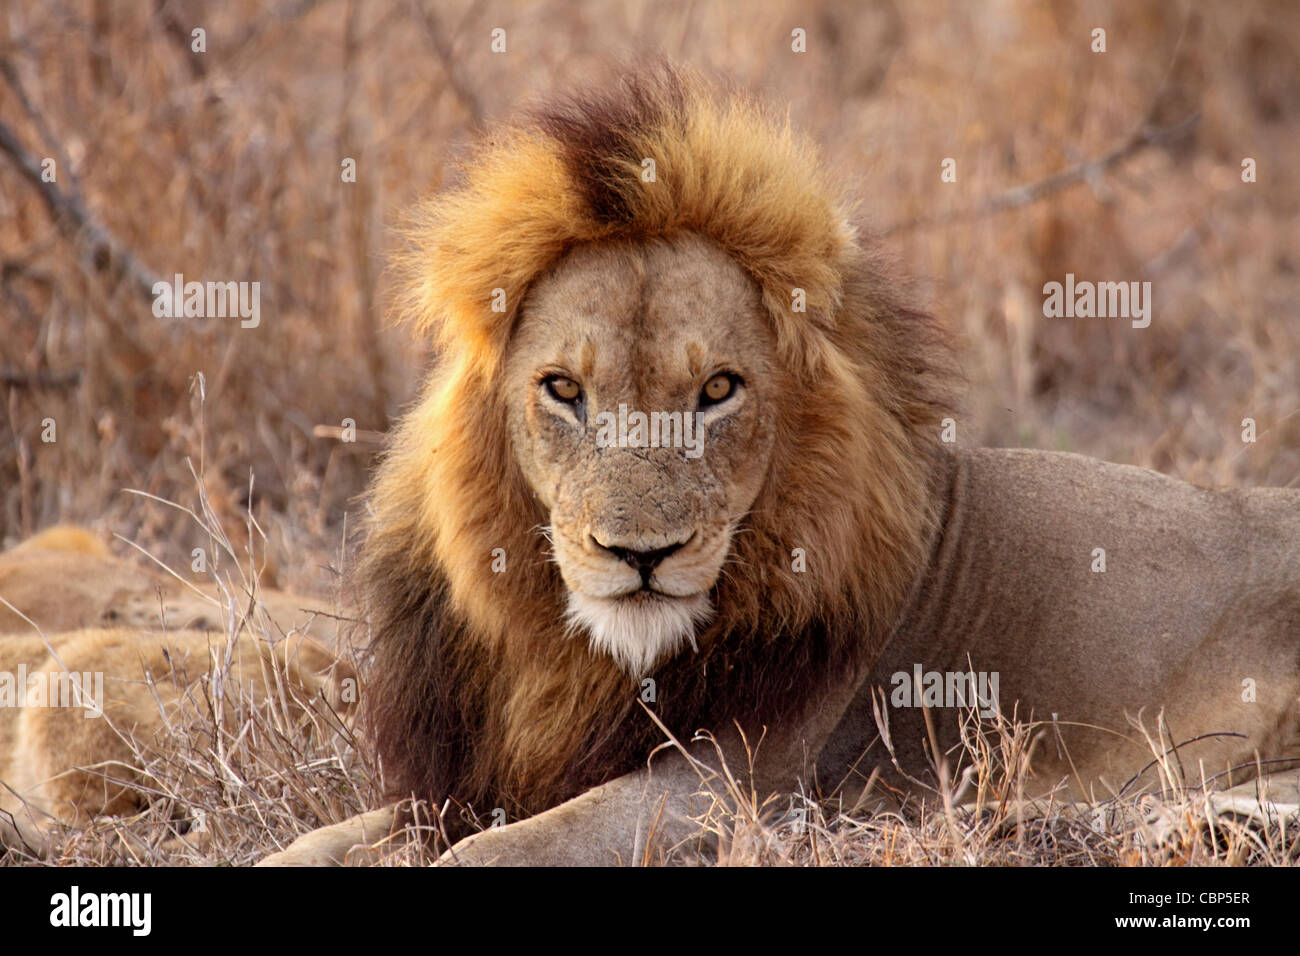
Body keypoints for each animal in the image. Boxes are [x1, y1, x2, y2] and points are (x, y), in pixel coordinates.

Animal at [251, 65, 1290, 865]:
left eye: (718, 390)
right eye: (562, 390)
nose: (640, 556)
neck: (581, 654)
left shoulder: (739, 781)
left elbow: (490, 851)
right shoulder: (477, 777)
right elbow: (313, 843)